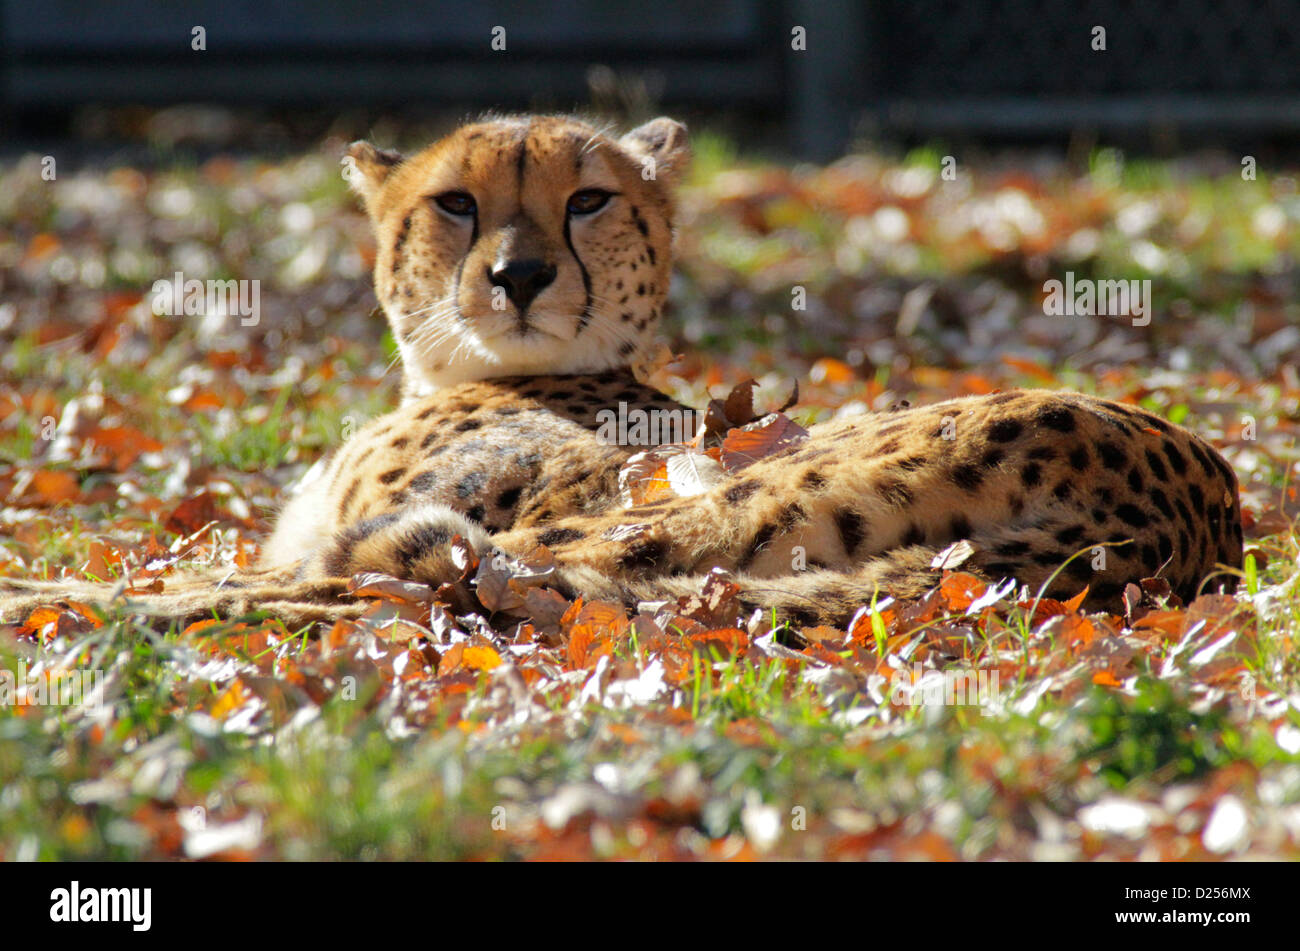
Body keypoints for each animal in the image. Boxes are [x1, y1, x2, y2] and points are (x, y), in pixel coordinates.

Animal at [0, 114, 1243, 629]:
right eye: (456, 204)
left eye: (588, 199)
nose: (520, 275)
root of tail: (1190, 518)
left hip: (623, 529)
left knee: (352, 593)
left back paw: (55, 606)